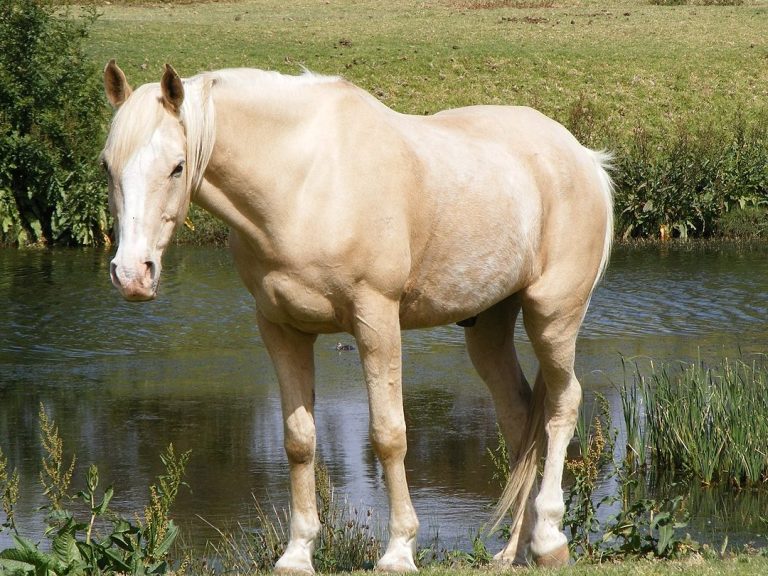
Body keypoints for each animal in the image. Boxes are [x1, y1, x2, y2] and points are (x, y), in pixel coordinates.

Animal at [101, 59, 613, 572]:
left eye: (177, 166)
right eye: (107, 165)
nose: (132, 274)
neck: (304, 184)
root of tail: (583, 157)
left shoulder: (376, 321)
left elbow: (389, 435)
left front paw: (399, 550)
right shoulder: (281, 329)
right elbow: (299, 441)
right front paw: (297, 552)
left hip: (552, 316)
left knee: (562, 404)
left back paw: (548, 540)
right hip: (488, 328)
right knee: (520, 417)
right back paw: (513, 551)